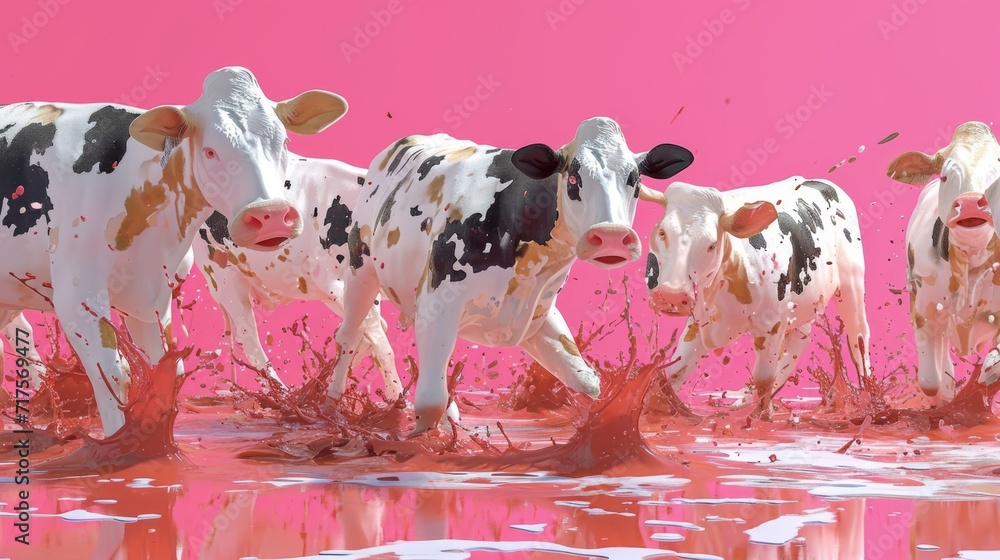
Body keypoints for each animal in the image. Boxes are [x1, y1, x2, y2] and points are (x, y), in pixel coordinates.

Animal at [0, 66, 347, 435]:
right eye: (210, 152)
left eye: (283, 143)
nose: (271, 216)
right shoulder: (77, 293)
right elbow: (112, 373)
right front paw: (118, 443)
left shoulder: (151, 297)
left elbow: (166, 372)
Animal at [191, 158, 401, 401]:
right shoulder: (340, 282)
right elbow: (381, 344)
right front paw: (398, 400)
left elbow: (363, 333)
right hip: (223, 276)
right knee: (249, 338)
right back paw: (282, 396)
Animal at [330, 117, 694, 435]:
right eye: (573, 179)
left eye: (635, 180)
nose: (612, 236)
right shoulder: (438, 302)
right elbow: (430, 400)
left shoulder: (536, 314)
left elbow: (586, 380)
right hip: (360, 268)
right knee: (350, 336)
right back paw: (331, 407)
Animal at [642, 177, 871, 418]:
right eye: (662, 232)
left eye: (712, 244)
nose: (672, 295)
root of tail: (817, 181)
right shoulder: (698, 321)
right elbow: (673, 373)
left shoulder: (772, 324)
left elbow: (764, 379)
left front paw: (761, 417)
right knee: (801, 338)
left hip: (852, 282)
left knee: (858, 337)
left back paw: (869, 400)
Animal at [887, 121, 1000, 402]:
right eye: (945, 176)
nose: (971, 203)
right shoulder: (923, 307)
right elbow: (931, 382)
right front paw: (948, 397)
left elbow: (994, 368)